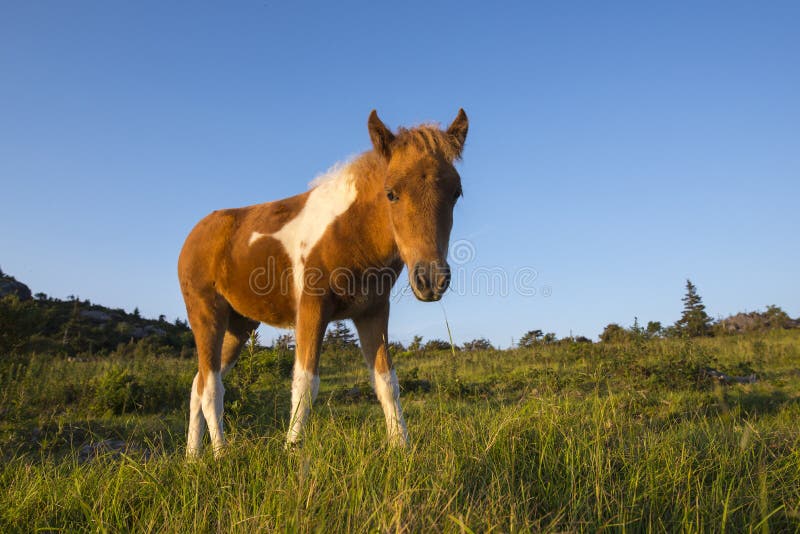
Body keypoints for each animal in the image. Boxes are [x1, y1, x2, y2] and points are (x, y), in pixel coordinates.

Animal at [178, 109, 468, 457]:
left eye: (456, 193)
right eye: (391, 193)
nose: (431, 280)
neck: (349, 232)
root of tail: (192, 236)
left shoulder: (372, 312)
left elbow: (387, 382)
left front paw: (401, 448)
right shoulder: (312, 308)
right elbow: (305, 382)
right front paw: (292, 450)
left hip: (240, 324)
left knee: (199, 383)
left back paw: (193, 458)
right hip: (207, 314)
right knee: (211, 387)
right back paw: (221, 455)